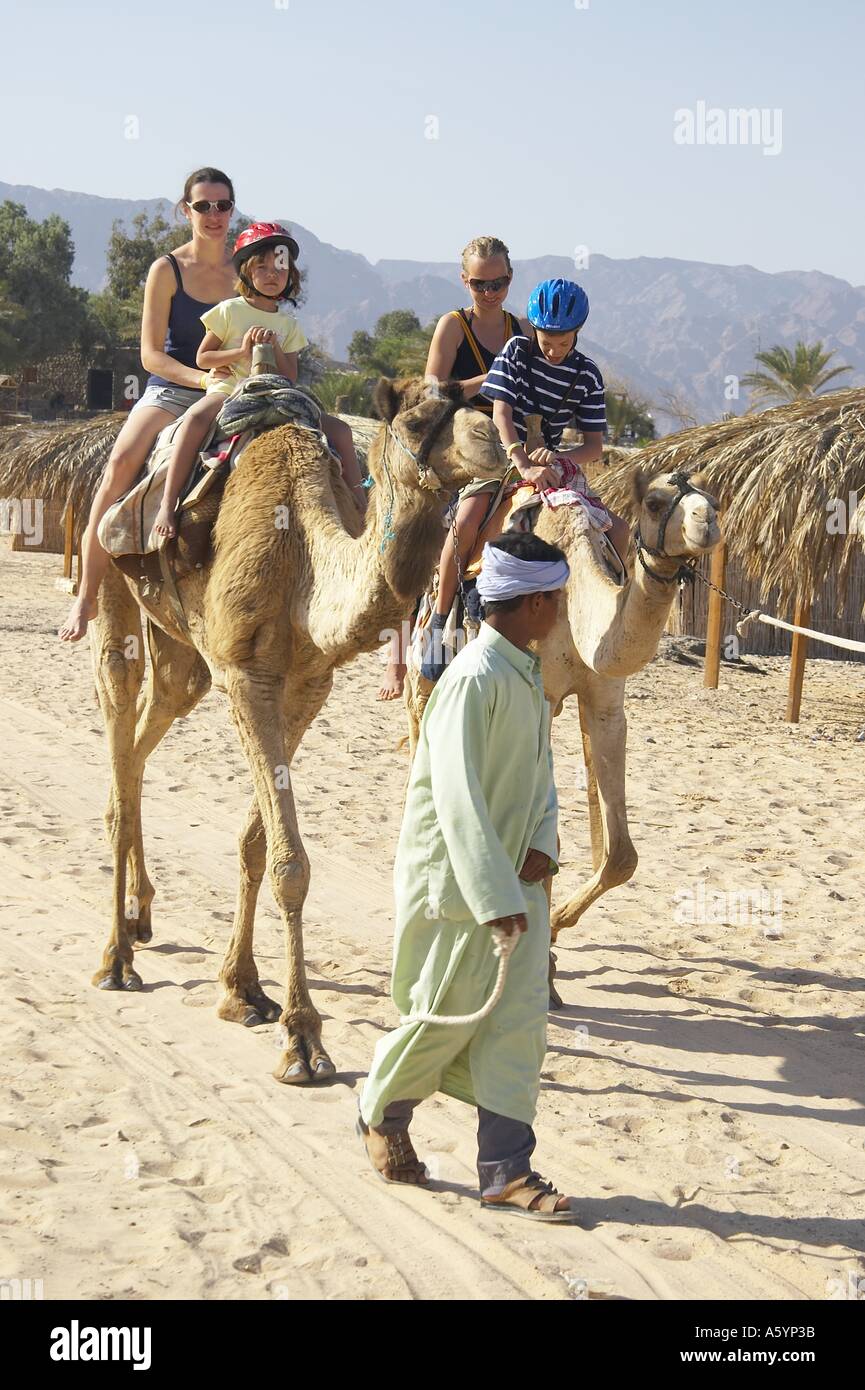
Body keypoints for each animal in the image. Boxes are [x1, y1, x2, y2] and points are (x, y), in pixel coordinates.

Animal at [70, 378, 505, 1084]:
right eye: (416, 420)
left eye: (473, 404)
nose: (495, 439)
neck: (304, 558)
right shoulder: (246, 677)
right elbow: (290, 862)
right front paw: (302, 1039)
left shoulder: (306, 686)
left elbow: (256, 845)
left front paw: (244, 989)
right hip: (112, 580)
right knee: (118, 699)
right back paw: (115, 958)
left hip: (185, 654)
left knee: (147, 731)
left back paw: (140, 917)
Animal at [404, 468, 723, 1004]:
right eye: (656, 503)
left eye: (713, 498)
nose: (708, 523)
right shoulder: (541, 696)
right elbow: (544, 836)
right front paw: (544, 970)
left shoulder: (606, 703)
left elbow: (620, 856)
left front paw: (553, 934)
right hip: (423, 665)